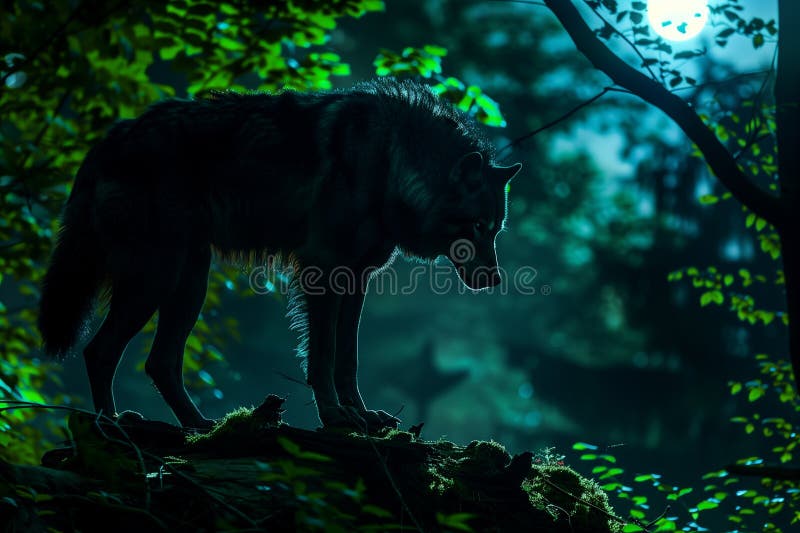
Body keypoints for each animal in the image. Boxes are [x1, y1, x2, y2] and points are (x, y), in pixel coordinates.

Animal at [37, 78, 522, 431]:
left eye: (496, 229)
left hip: (190, 281)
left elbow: (348, 358)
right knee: (100, 352)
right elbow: (323, 356)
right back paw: (114, 425)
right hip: (156, 278)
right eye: (478, 227)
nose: (495, 280)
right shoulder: (323, 269)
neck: (391, 160)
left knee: (159, 362)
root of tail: (111, 137)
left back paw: (200, 426)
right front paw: (336, 417)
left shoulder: (357, 278)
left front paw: (362, 415)